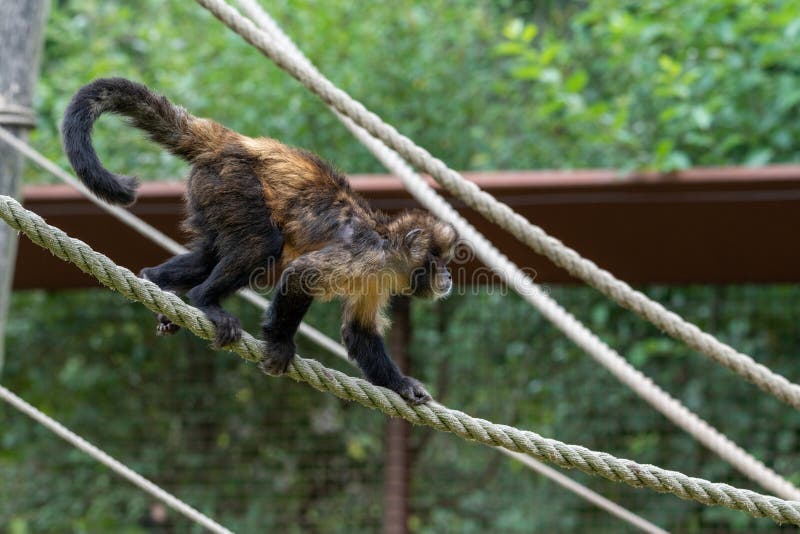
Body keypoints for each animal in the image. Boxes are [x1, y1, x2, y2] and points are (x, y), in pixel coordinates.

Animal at [61, 77, 457, 404]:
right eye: (438, 261)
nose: (448, 277)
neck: (386, 243)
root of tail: (230, 141)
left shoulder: (379, 275)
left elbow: (358, 331)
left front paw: (401, 385)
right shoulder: (367, 258)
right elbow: (301, 275)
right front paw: (280, 342)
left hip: (210, 192)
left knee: (209, 254)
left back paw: (155, 281)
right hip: (230, 181)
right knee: (262, 245)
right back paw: (204, 300)